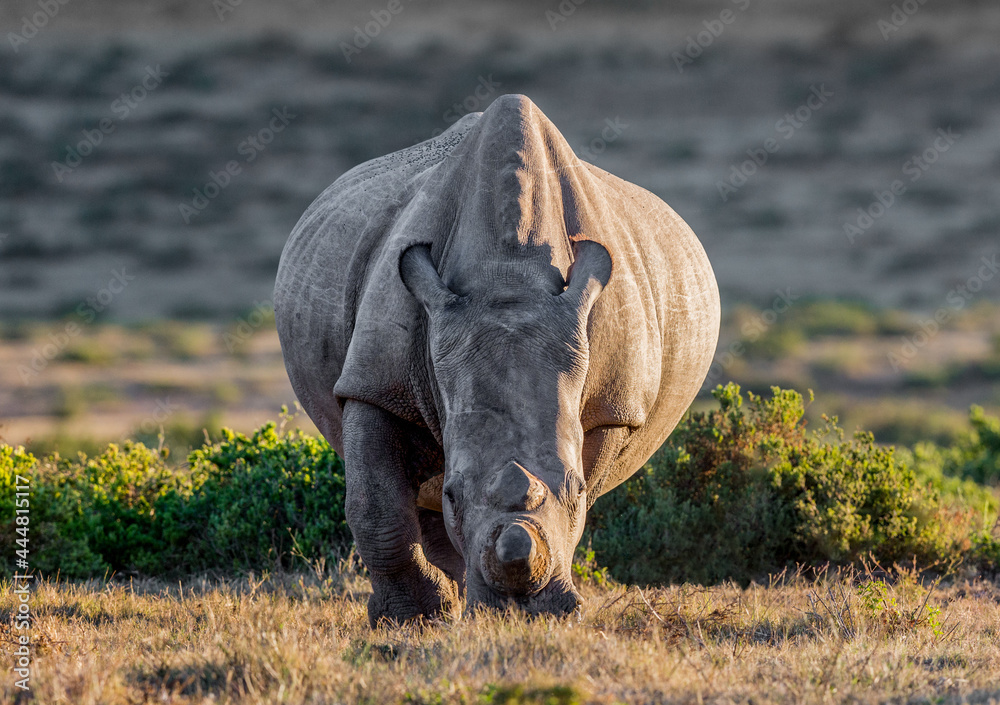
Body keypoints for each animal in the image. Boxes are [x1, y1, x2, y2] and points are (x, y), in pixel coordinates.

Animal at [274, 95, 719, 626]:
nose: (520, 609)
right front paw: (412, 619)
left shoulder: (614, 405)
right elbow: (375, 506)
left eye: (576, 491)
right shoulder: (376, 383)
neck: (508, 273)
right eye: (454, 493)